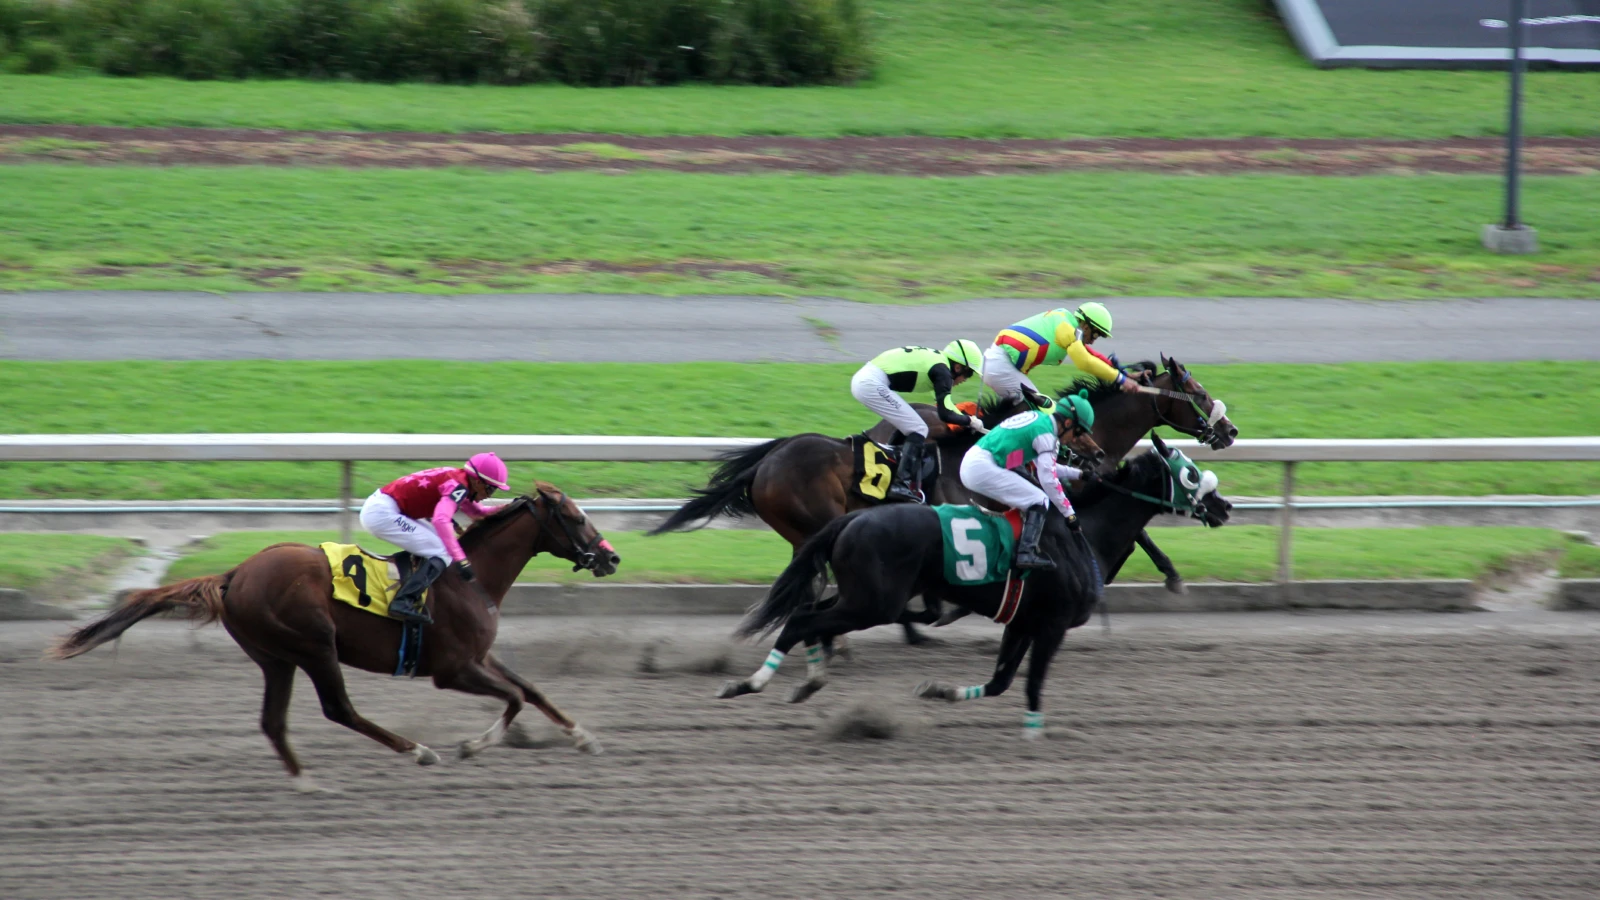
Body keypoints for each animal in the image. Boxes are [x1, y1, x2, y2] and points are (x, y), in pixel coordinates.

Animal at [49, 484, 622, 791]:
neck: (469, 575)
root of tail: (234, 574)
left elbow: (532, 689)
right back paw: (417, 750)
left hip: (274, 656)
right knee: (339, 709)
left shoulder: (482, 655)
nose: (612, 557)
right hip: (314, 644)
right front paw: (470, 745)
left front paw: (583, 736)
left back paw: (305, 780)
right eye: (576, 518)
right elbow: (514, 698)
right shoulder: (452, 669)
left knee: (273, 720)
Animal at [716, 433, 1232, 737]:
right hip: (872, 602)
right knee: (803, 619)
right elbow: (1030, 684)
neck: (1084, 533)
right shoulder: (1053, 624)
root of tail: (851, 521)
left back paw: (808, 679)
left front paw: (938, 691)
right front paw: (1033, 733)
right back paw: (752, 683)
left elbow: (1001, 680)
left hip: (860, 595)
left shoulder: (1022, 620)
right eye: (1190, 473)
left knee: (810, 616)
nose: (1224, 506)